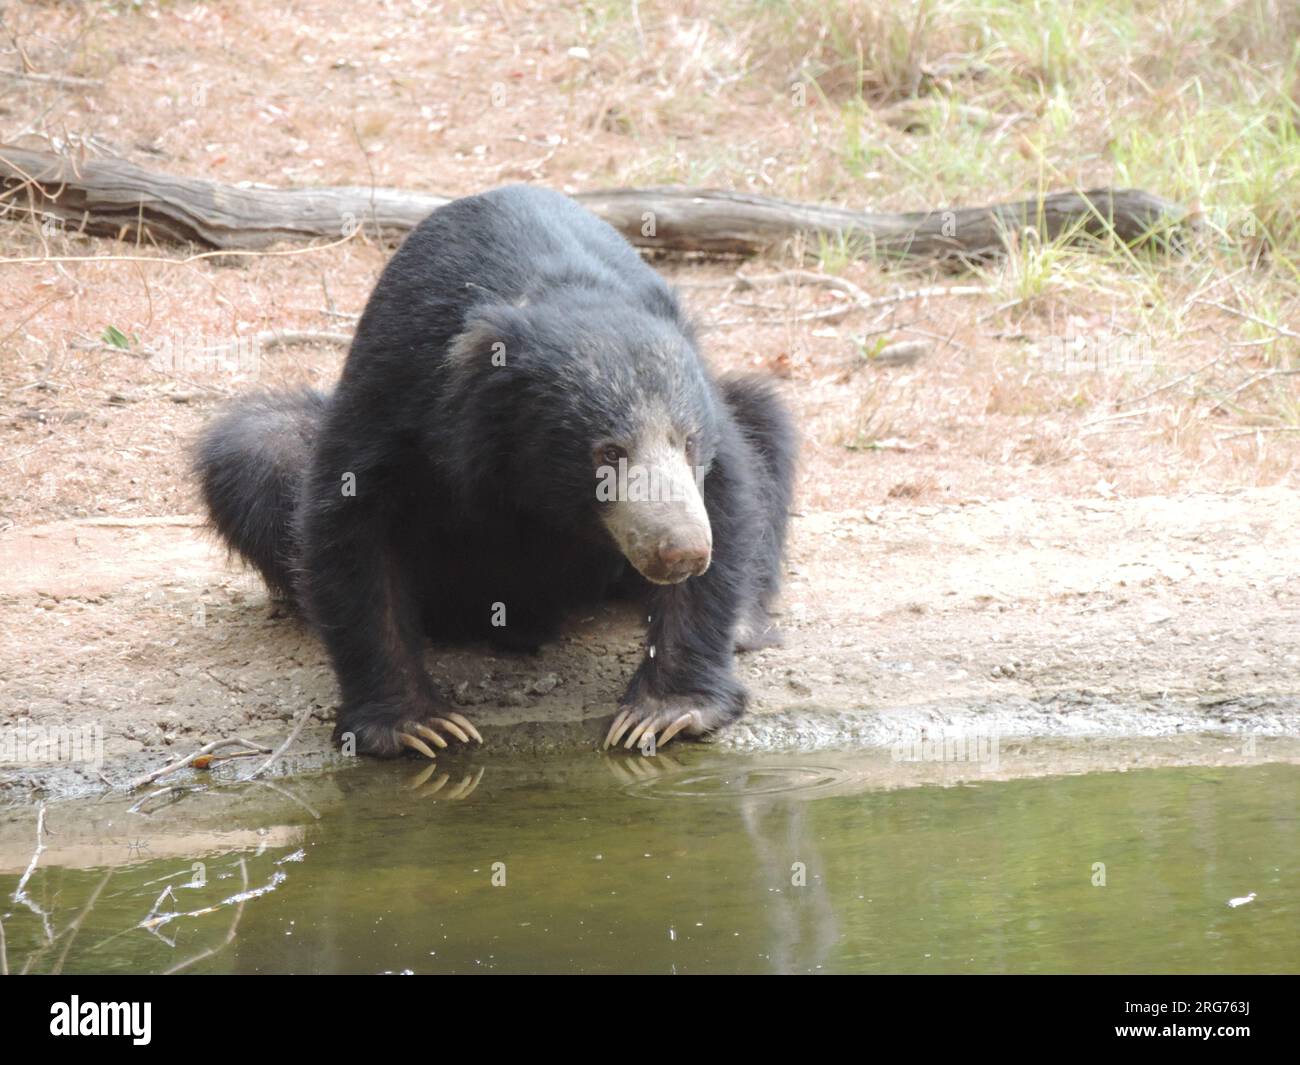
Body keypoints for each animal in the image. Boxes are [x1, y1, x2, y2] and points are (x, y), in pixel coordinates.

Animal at [194, 185, 795, 758]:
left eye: (689, 442)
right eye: (608, 453)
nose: (682, 553)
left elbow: (729, 494)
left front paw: (664, 712)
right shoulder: (401, 388)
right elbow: (353, 519)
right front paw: (419, 727)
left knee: (764, 416)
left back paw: (743, 624)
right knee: (258, 447)